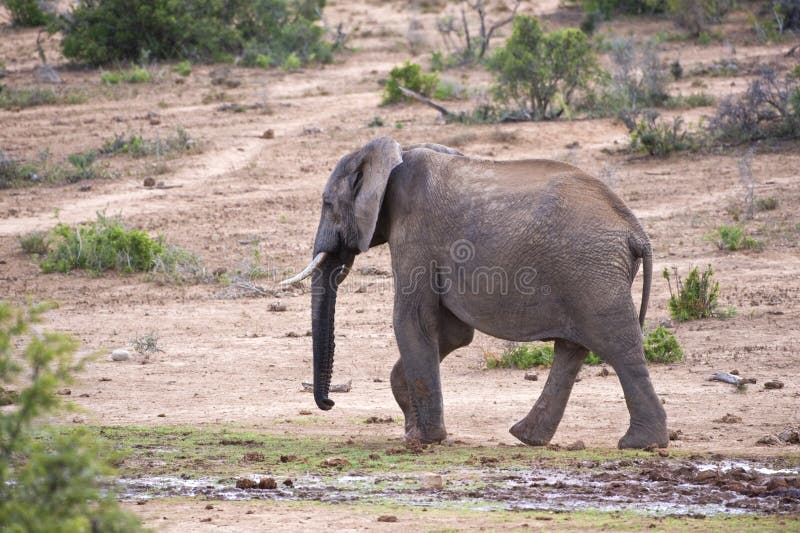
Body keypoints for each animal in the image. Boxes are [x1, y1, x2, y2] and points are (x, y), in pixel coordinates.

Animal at [281, 136, 668, 449]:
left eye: (327, 204)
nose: (330, 403)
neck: (397, 154)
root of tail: (636, 231)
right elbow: (453, 332)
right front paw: (412, 430)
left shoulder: (415, 233)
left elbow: (412, 320)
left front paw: (425, 439)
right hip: (588, 274)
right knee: (572, 349)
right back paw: (528, 437)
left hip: (592, 272)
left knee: (616, 345)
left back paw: (640, 444)